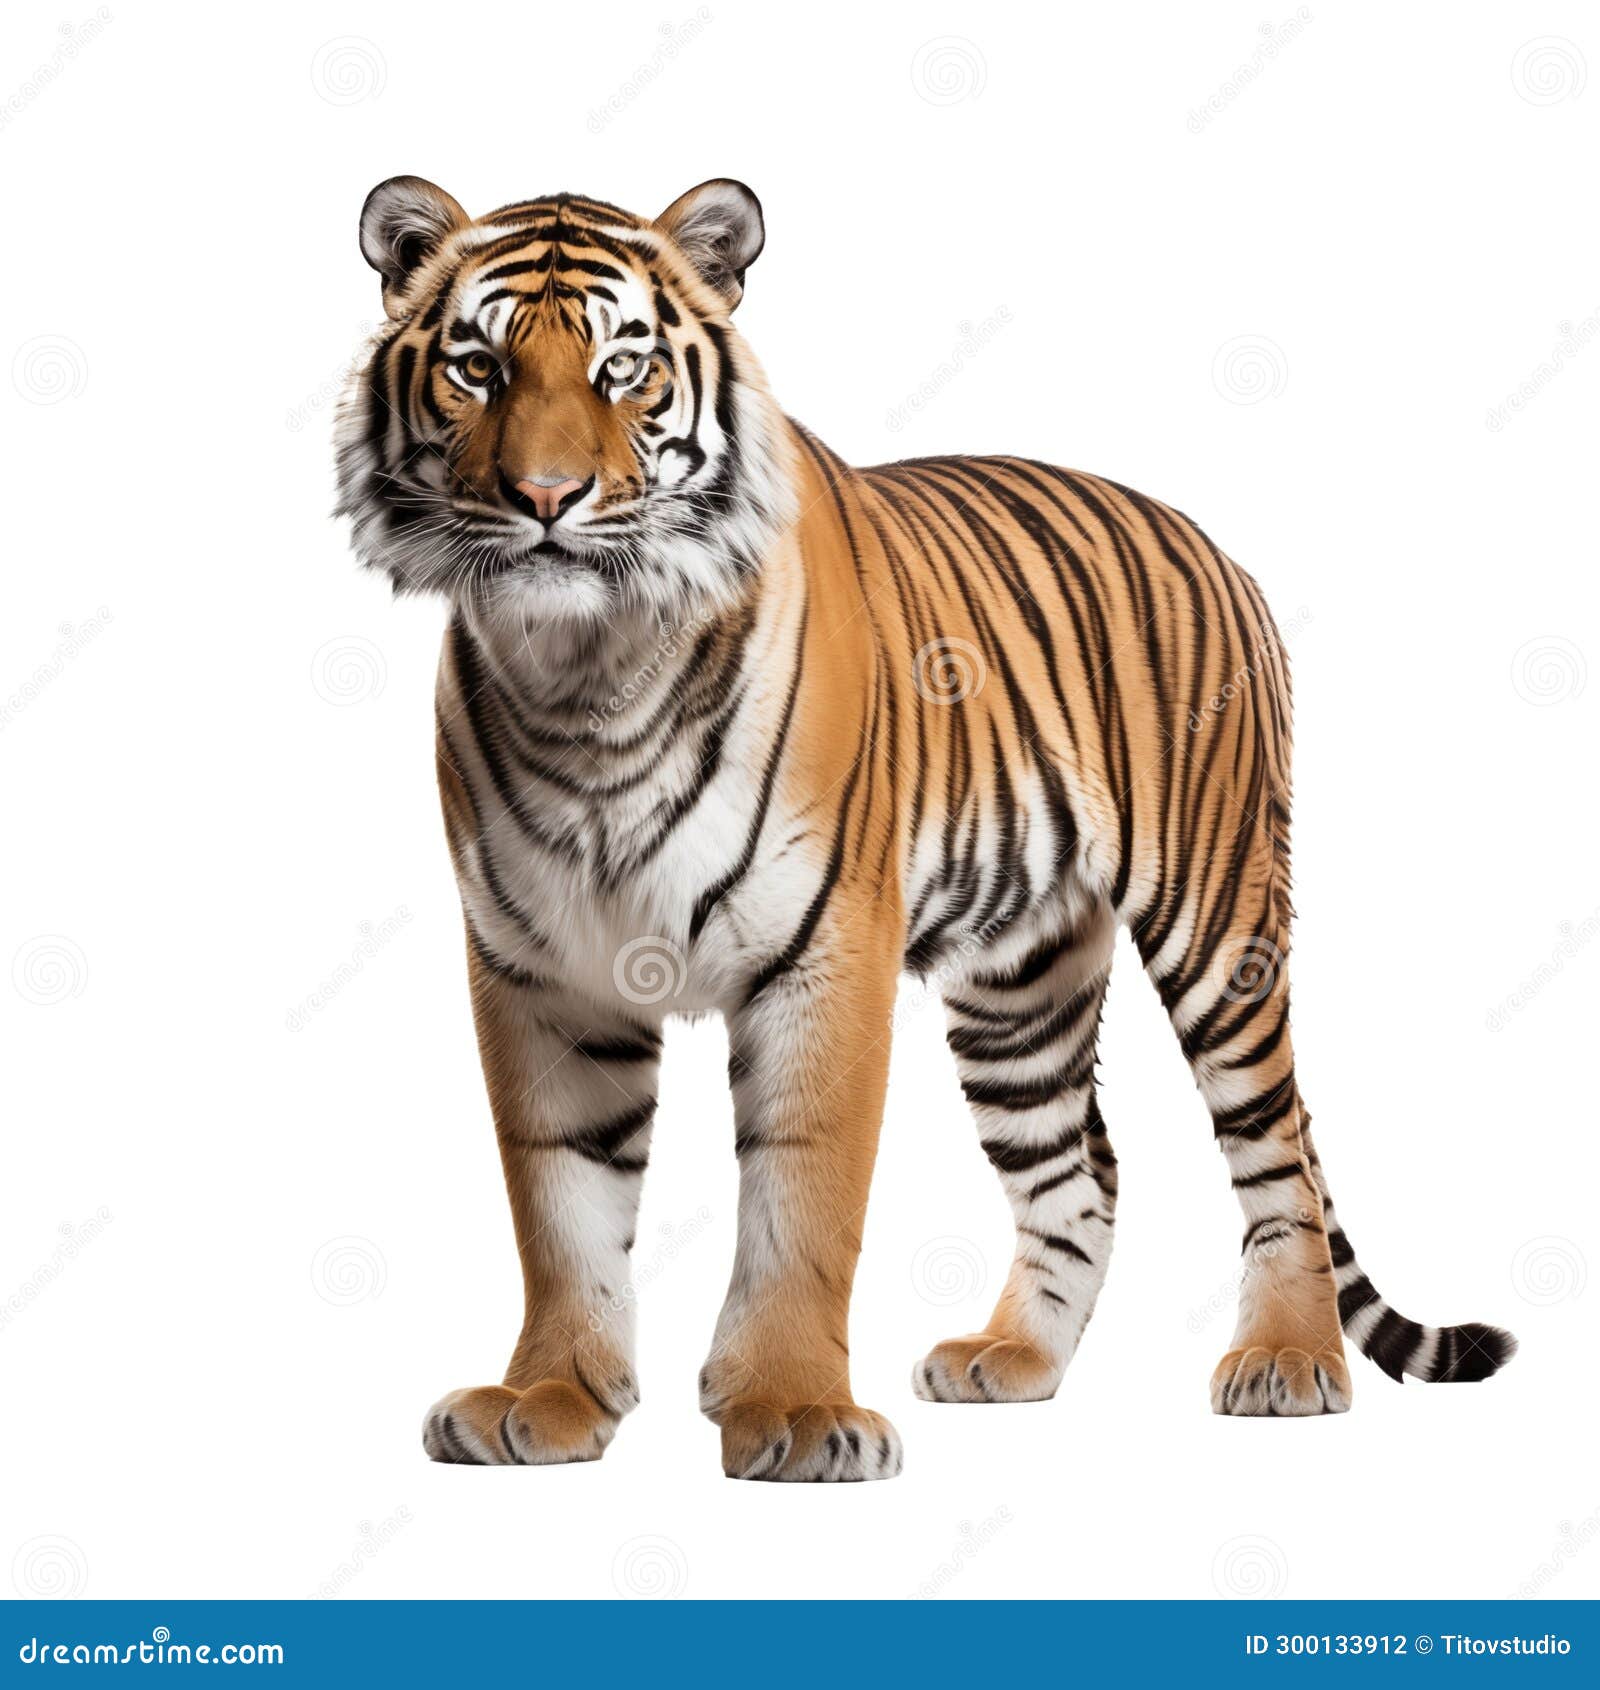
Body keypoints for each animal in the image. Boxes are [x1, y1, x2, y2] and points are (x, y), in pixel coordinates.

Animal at [334, 175, 1515, 1481]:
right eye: (478, 368)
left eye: (622, 369)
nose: (544, 501)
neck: (587, 676)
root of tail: (1209, 543)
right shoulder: (537, 971)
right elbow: (560, 1205)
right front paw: (547, 1398)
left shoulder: (824, 948)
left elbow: (805, 1194)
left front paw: (796, 1412)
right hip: (1019, 985)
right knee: (1080, 1170)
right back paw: (1015, 1358)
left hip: (1220, 924)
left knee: (1279, 1148)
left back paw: (1290, 1362)